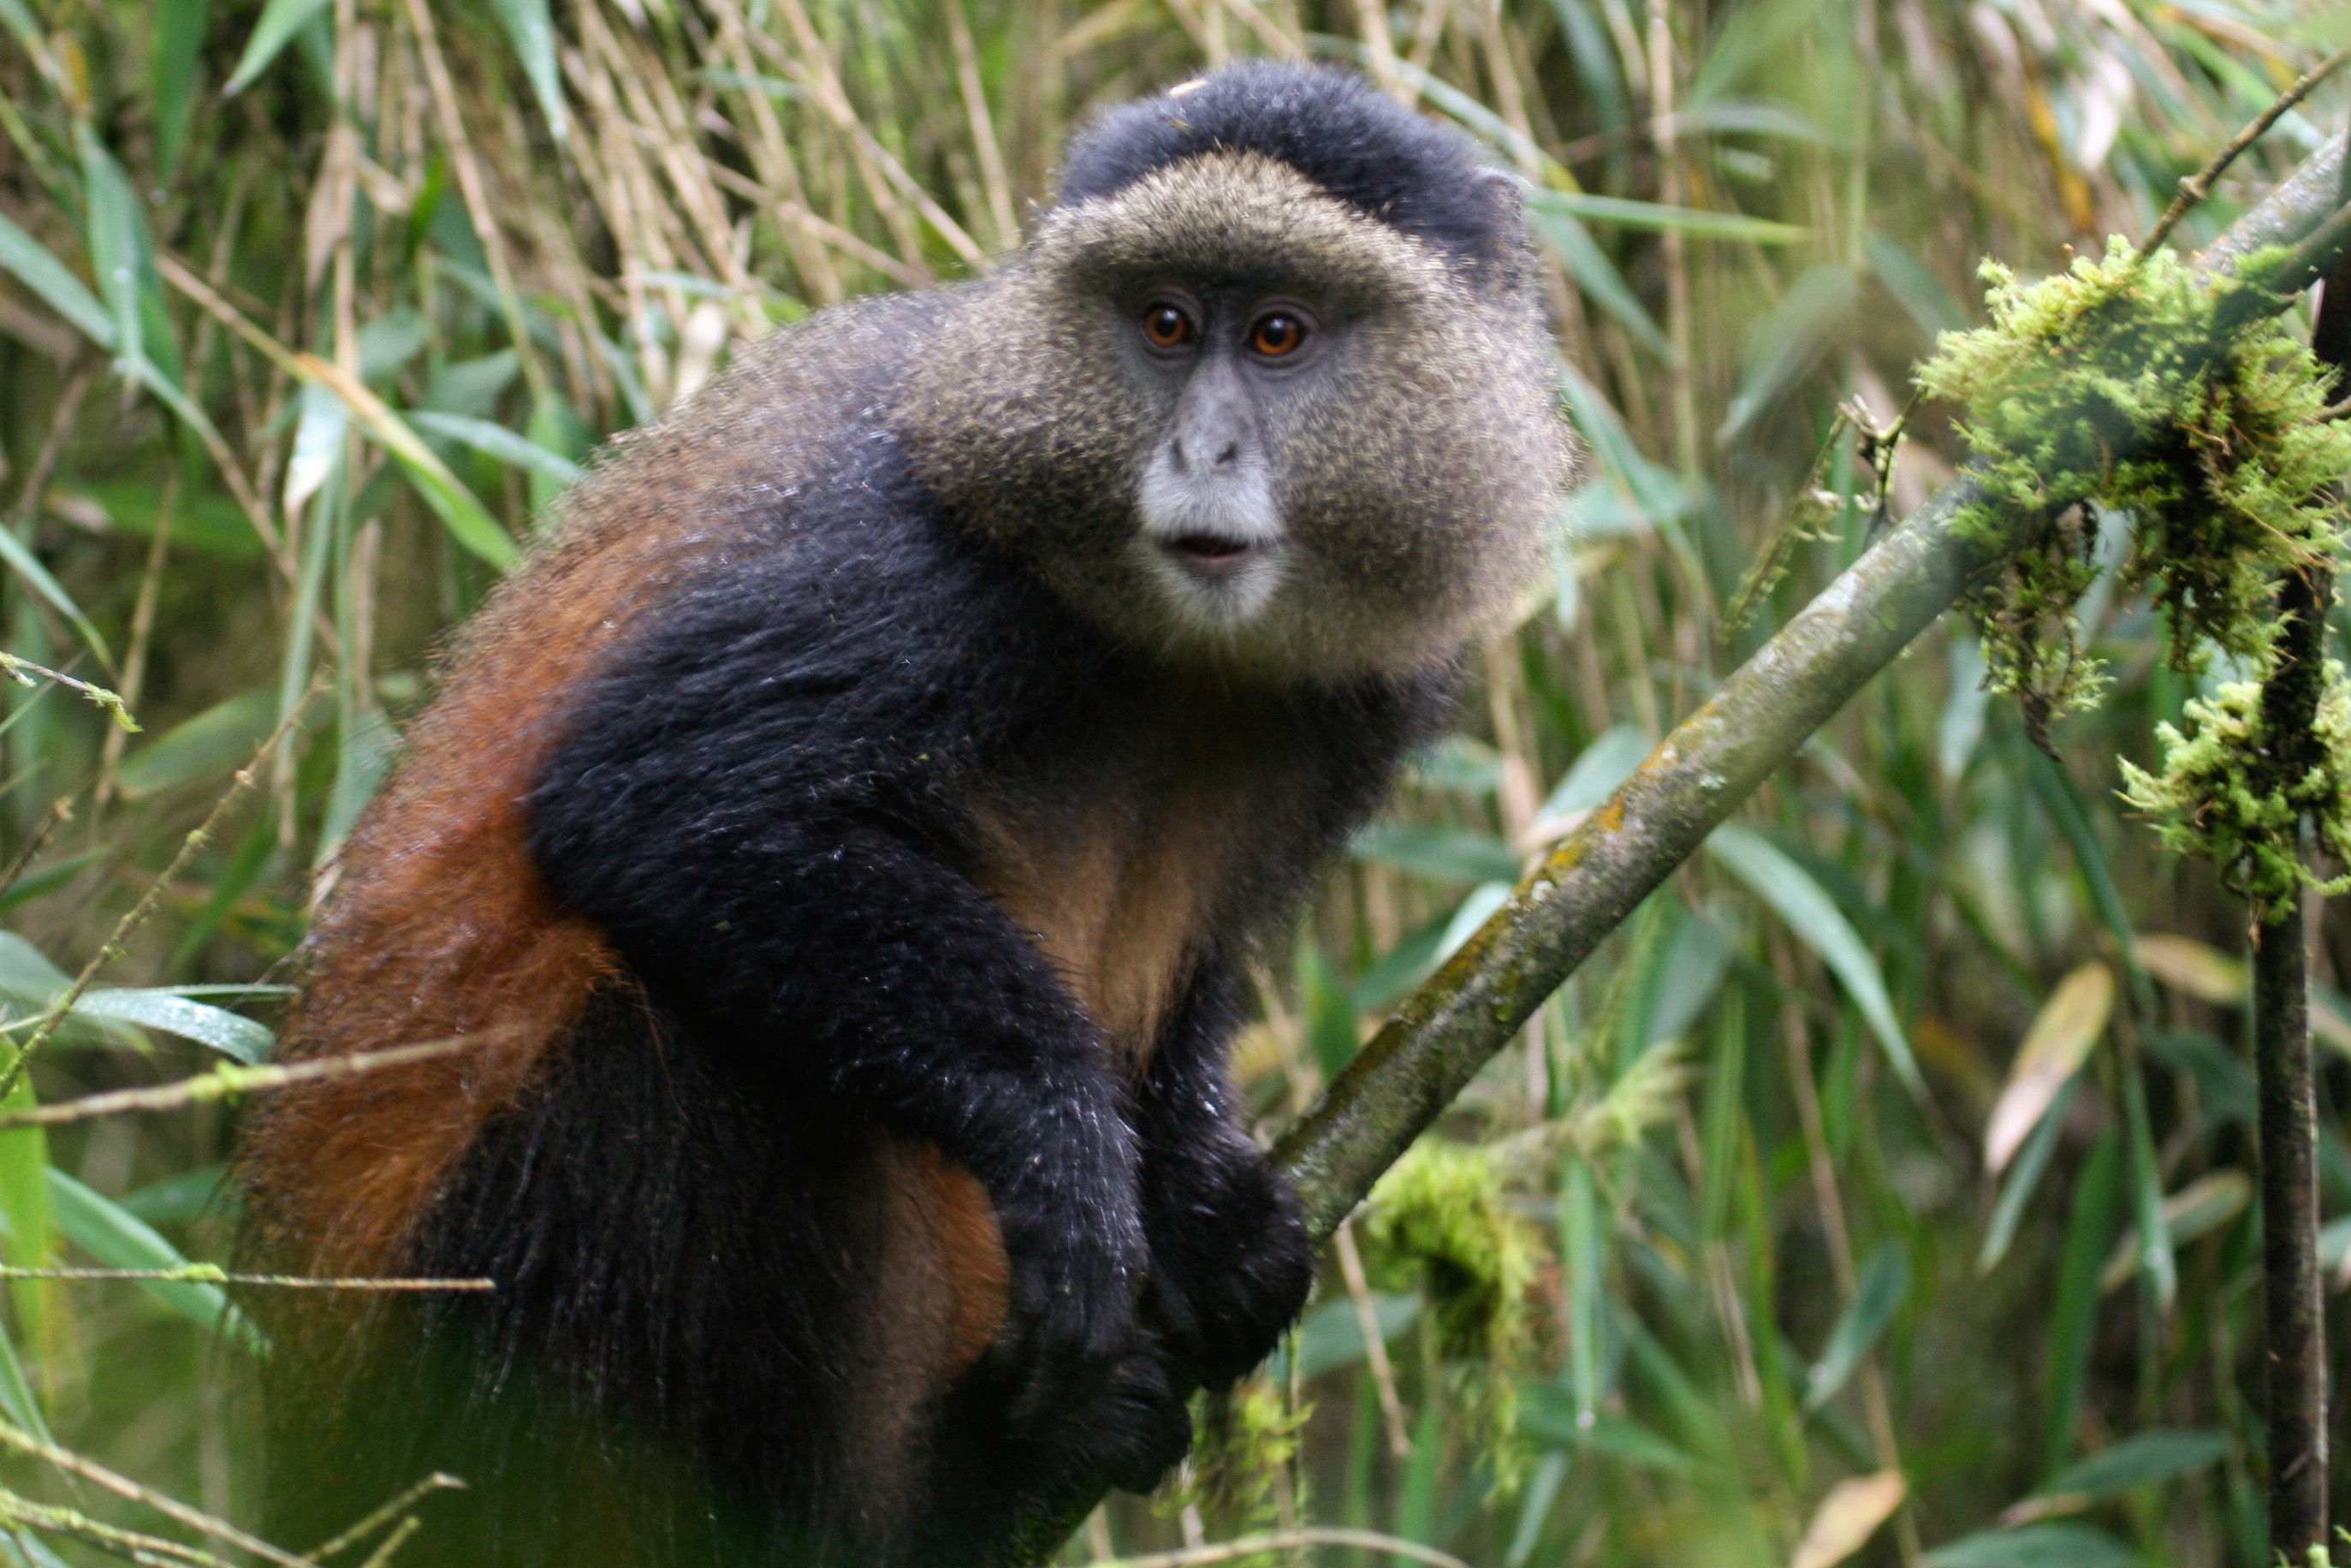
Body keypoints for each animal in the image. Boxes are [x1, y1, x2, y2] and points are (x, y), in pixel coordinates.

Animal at [234, 61, 1571, 1568]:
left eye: (1278, 334)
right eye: (1165, 325)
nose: (1205, 444)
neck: (1165, 648)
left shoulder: (1375, 687)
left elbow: (1201, 974)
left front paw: (1203, 1198)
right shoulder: (913, 566)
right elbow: (662, 800)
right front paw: (1065, 1150)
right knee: (663, 1046)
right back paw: (967, 1480)